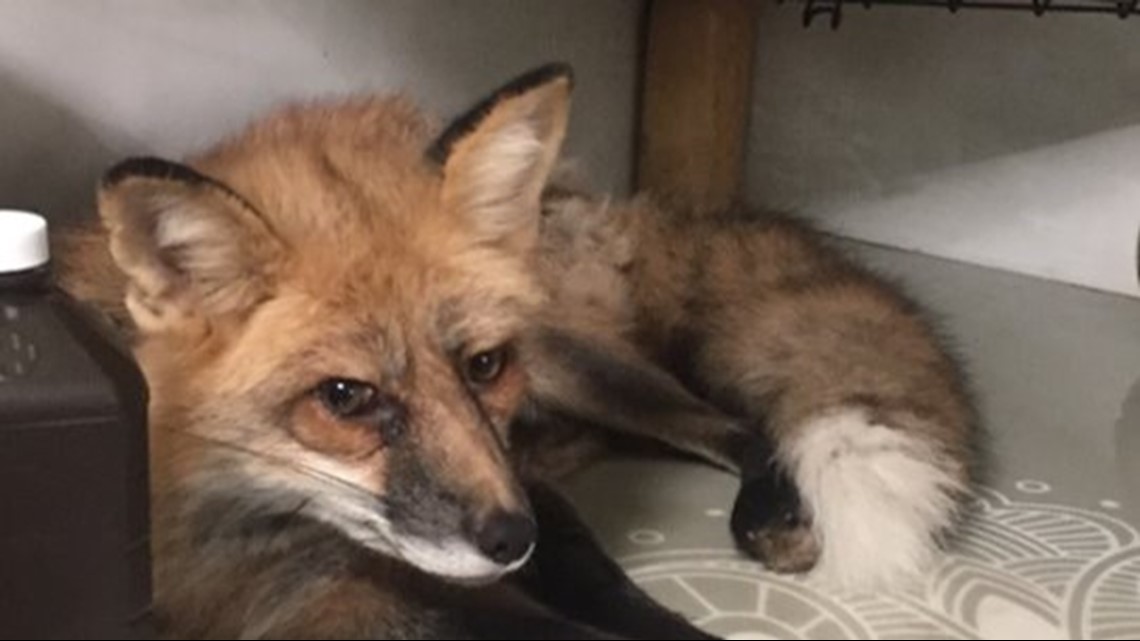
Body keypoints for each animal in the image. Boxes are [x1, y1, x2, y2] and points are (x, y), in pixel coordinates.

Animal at [56, 66, 716, 639]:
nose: (510, 538)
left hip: (581, 367)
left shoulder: (514, 479)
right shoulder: (314, 605)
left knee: (717, 422)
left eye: (485, 365)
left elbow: (610, 588)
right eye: (345, 397)